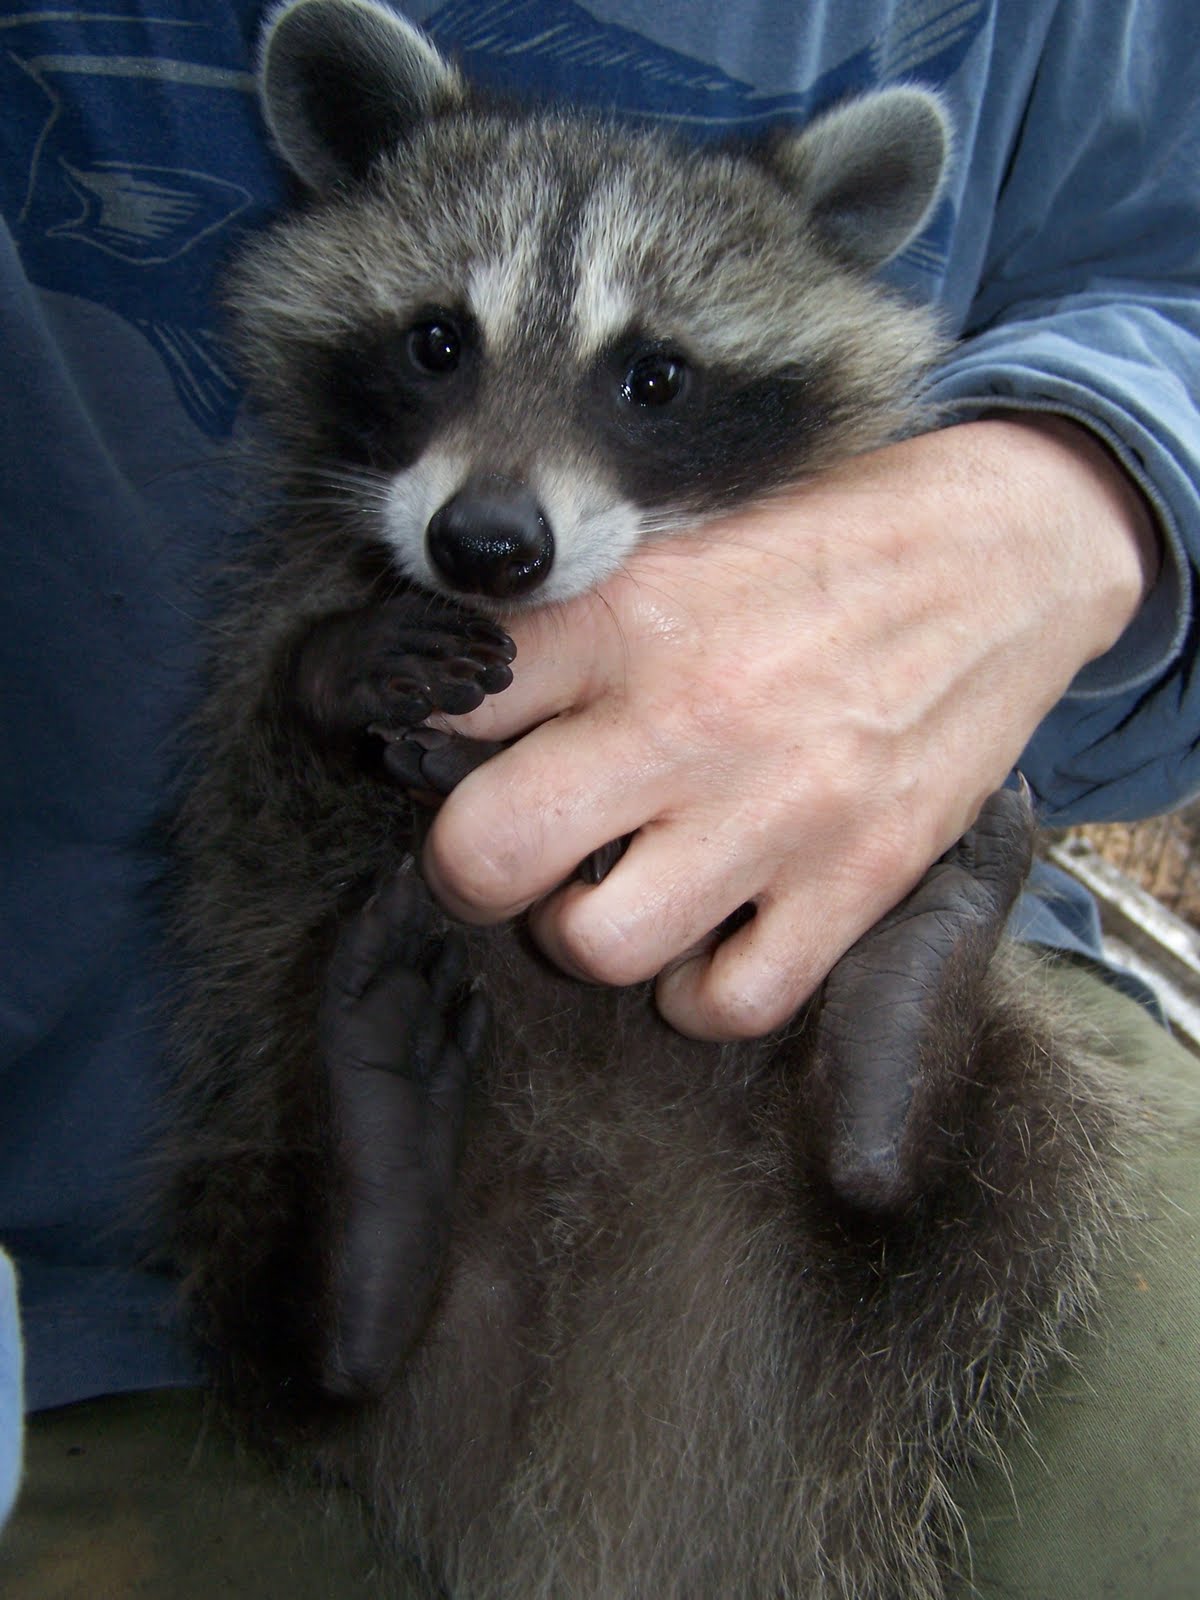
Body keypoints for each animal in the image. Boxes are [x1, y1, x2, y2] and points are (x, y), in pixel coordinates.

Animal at [164, 3, 1141, 1597]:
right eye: (438, 340)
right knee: (259, 1258)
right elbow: (265, 749)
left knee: (1002, 1157)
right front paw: (327, 675)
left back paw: (900, 1056)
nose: (488, 543)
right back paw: (358, 1236)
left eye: (655, 377)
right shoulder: (281, 671)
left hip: (960, 1186)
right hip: (258, 1081)